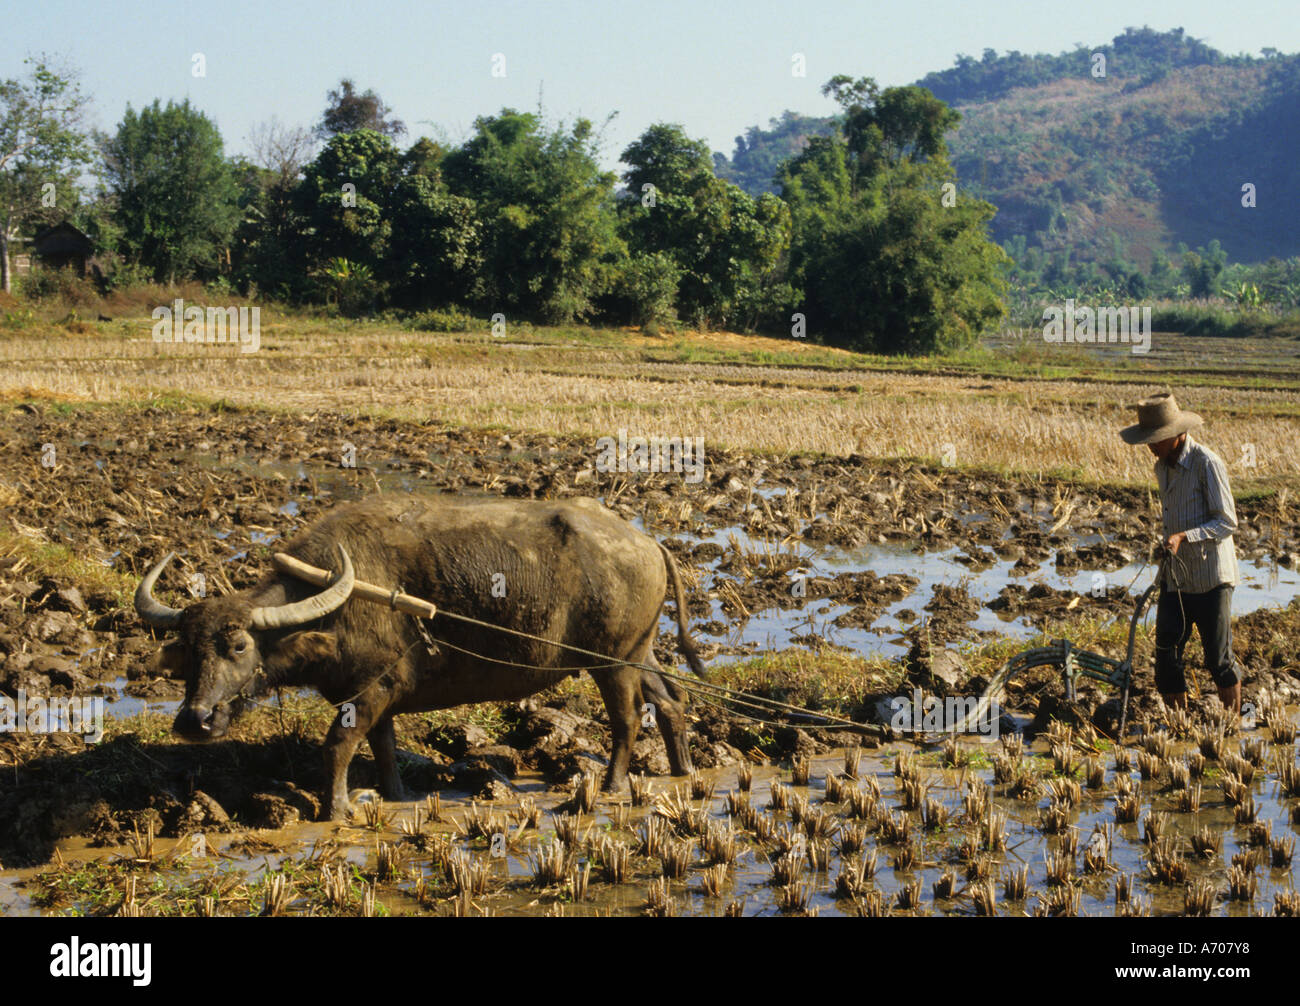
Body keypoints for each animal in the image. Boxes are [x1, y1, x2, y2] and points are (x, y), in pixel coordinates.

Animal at [135, 495, 705, 819]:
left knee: (628, 719)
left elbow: (337, 745)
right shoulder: (375, 694)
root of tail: (647, 542)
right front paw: (395, 793)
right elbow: (383, 747)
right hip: (641, 652)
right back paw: (682, 771)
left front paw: (335, 807)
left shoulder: (371, 688)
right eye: (188, 651)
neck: (333, 604)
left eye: (238, 646)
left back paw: (611, 785)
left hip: (613, 662)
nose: (194, 720)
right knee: (671, 702)